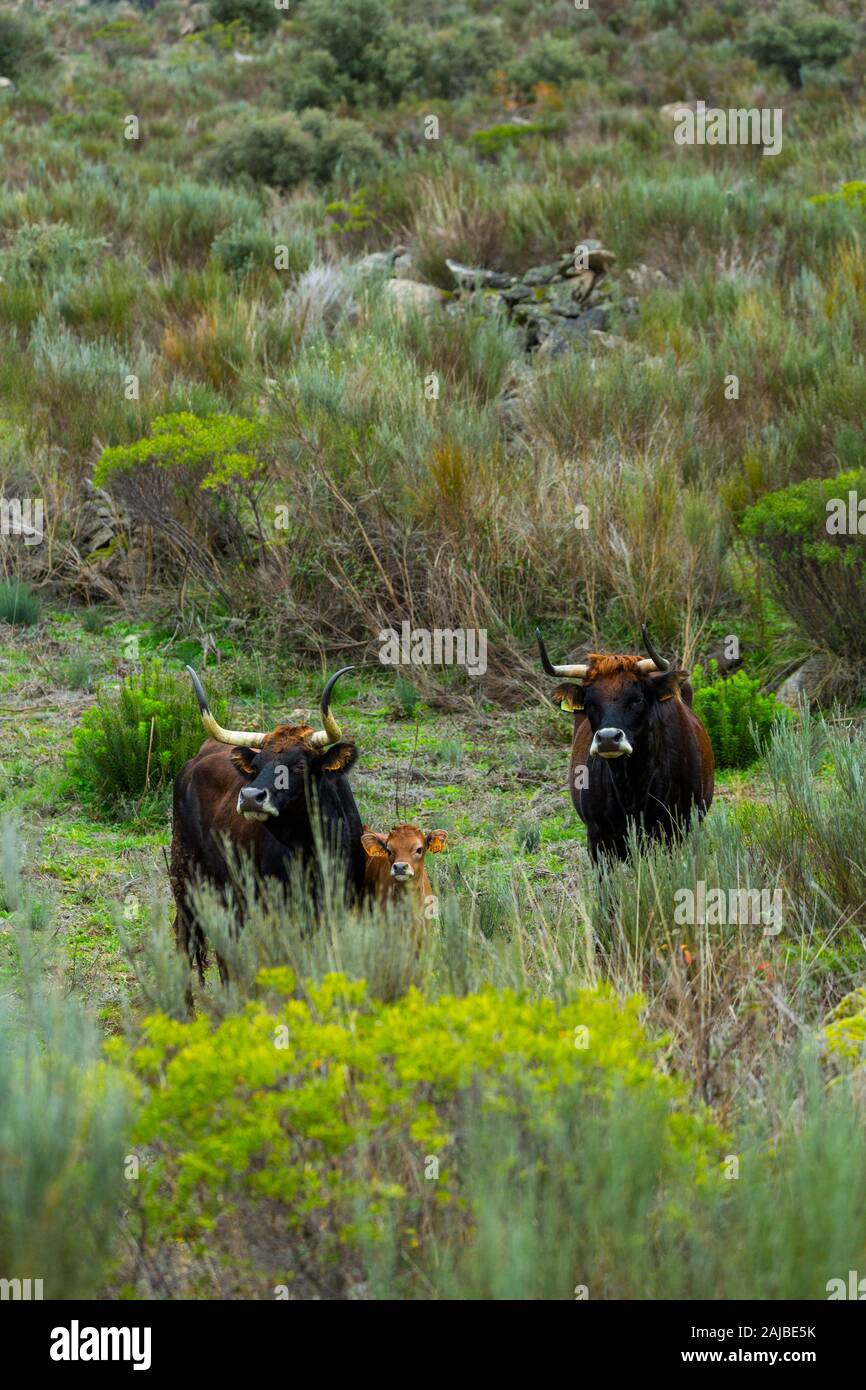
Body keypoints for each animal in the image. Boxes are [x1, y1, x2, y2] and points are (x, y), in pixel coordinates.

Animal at [170, 665, 365, 984]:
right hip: (184, 876)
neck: (313, 847)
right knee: (186, 938)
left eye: (300, 765)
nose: (250, 797)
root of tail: (195, 760)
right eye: (258, 766)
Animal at [536, 625, 714, 862]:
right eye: (590, 703)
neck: (632, 784)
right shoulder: (598, 838)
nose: (608, 738)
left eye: (637, 698)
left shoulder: (675, 830)